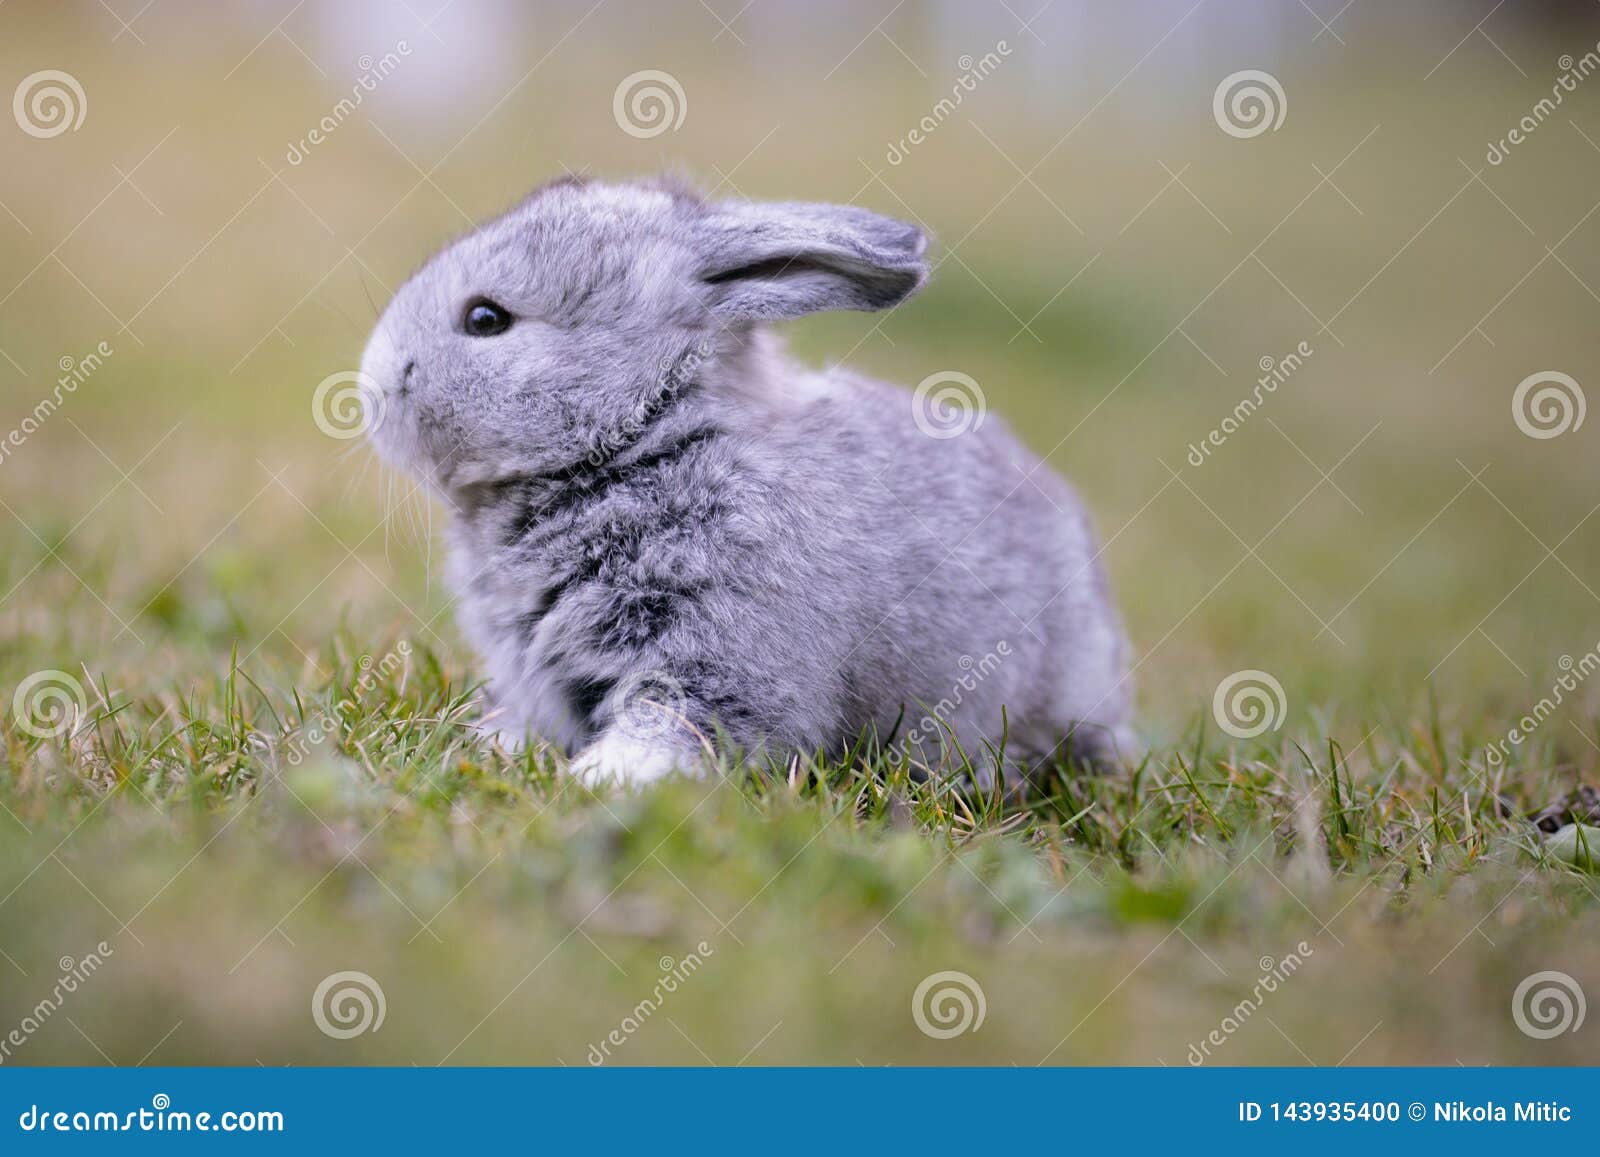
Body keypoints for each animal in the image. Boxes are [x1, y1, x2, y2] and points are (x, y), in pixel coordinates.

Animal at [358, 175, 1134, 786]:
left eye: (486, 318)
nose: (370, 389)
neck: (645, 435)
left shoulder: (721, 661)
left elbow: (678, 725)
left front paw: (599, 779)